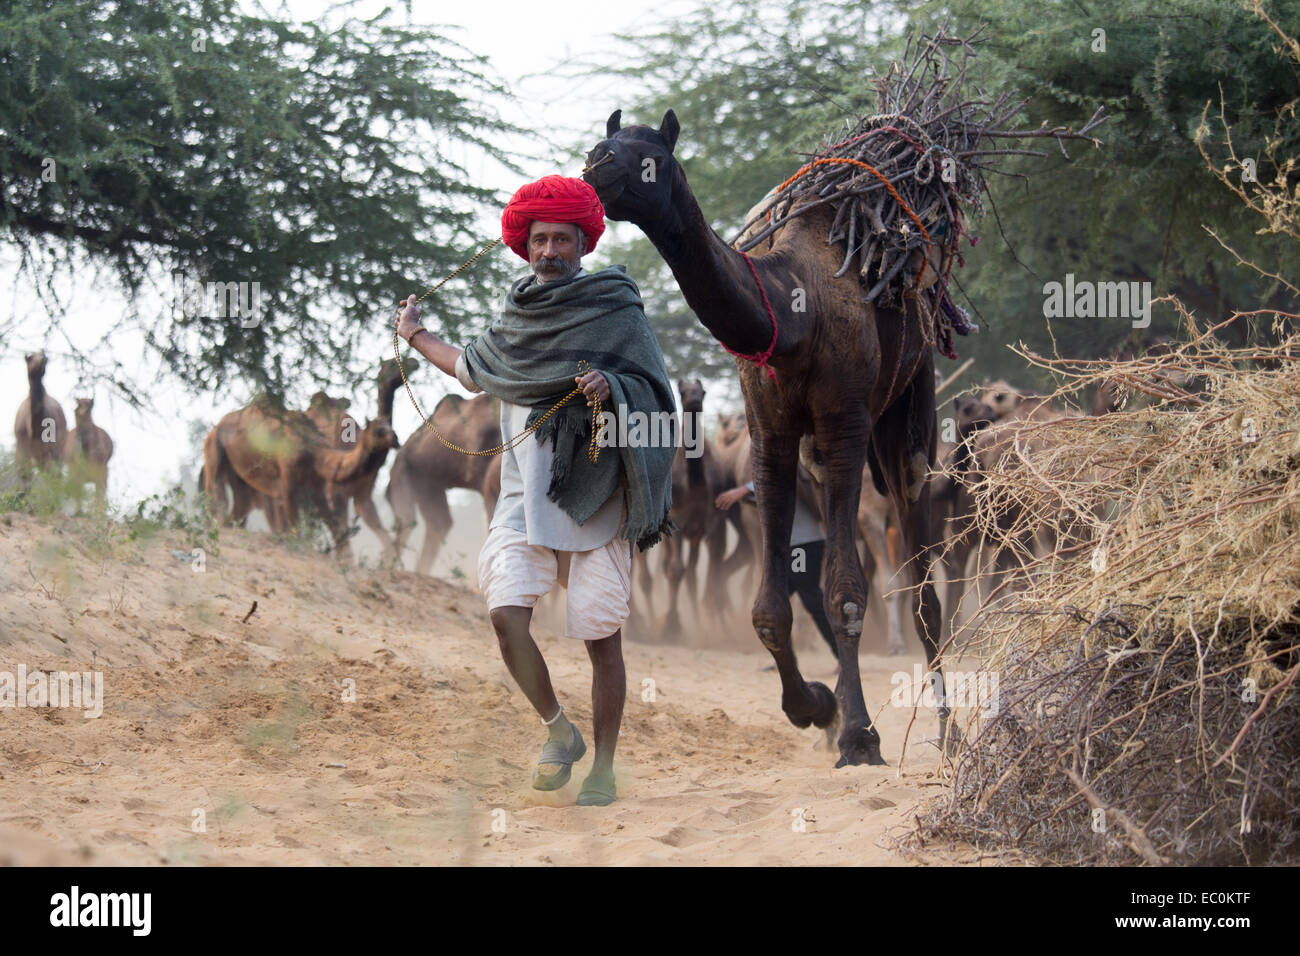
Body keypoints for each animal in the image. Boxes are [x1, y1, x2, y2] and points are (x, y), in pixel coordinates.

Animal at [585, 110, 950, 765]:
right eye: (609, 141)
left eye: (650, 154)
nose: (594, 162)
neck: (796, 313)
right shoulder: (769, 431)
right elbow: (769, 610)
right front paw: (816, 707)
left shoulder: (845, 422)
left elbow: (845, 593)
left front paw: (860, 737)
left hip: (909, 400)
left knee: (919, 557)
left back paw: (949, 729)